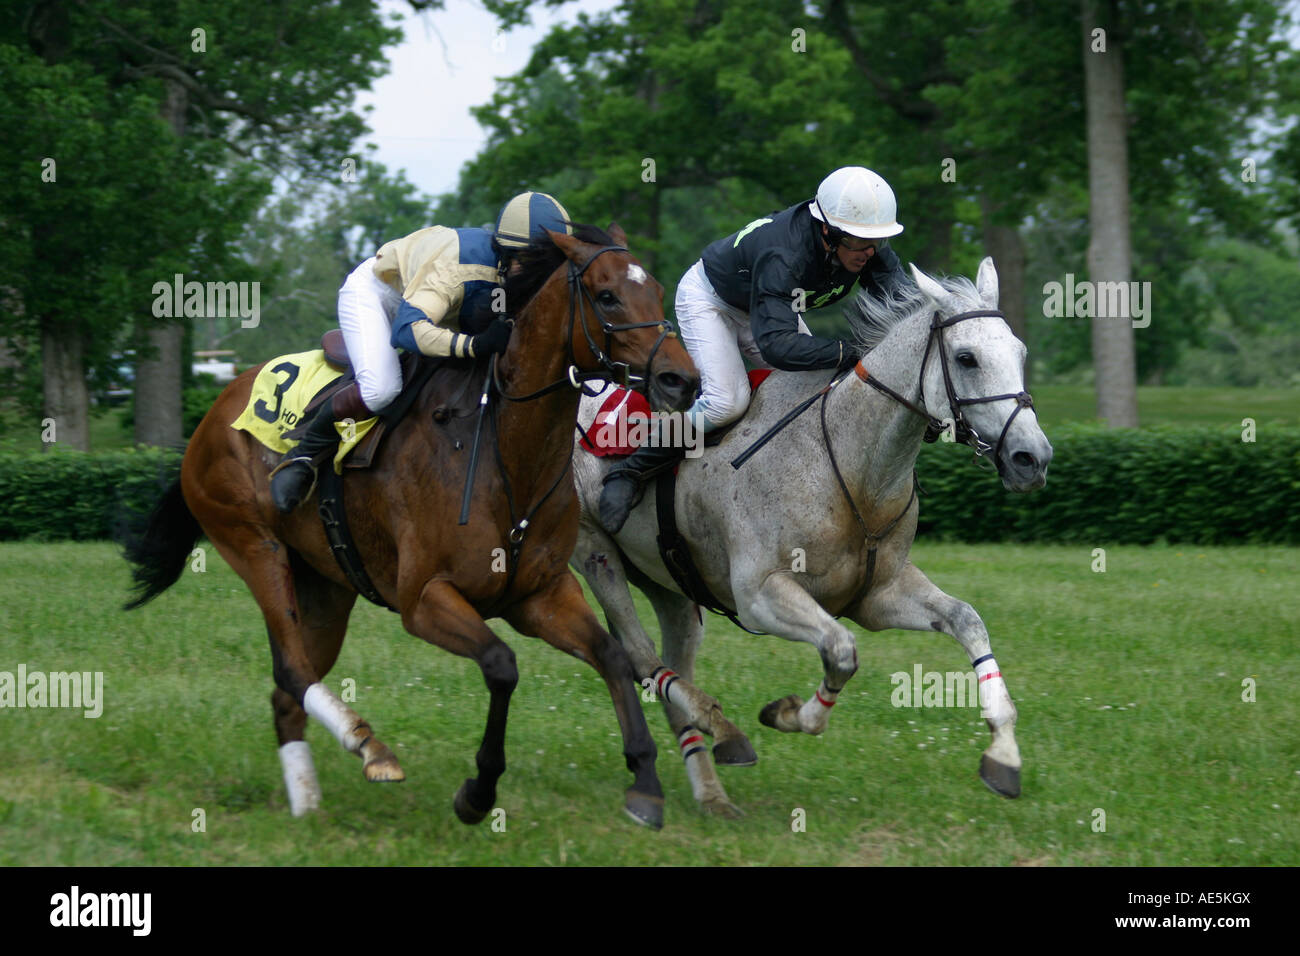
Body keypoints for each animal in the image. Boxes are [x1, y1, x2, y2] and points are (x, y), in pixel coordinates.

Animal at [122, 223, 700, 829]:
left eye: (656, 290)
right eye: (607, 296)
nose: (681, 380)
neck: (502, 449)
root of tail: (212, 413)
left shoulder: (540, 594)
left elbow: (612, 657)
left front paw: (646, 782)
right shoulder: (424, 599)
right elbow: (501, 665)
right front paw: (478, 792)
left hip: (325, 585)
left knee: (288, 690)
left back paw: (308, 802)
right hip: (254, 546)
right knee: (294, 669)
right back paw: (369, 747)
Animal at [569, 257, 1052, 815]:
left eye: (1020, 352)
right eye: (966, 358)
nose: (1032, 458)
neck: (850, 465)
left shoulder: (877, 595)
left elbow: (967, 620)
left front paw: (1004, 756)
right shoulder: (759, 595)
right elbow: (840, 650)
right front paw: (789, 714)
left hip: (669, 584)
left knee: (667, 666)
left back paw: (713, 789)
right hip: (595, 552)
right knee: (639, 655)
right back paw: (723, 736)